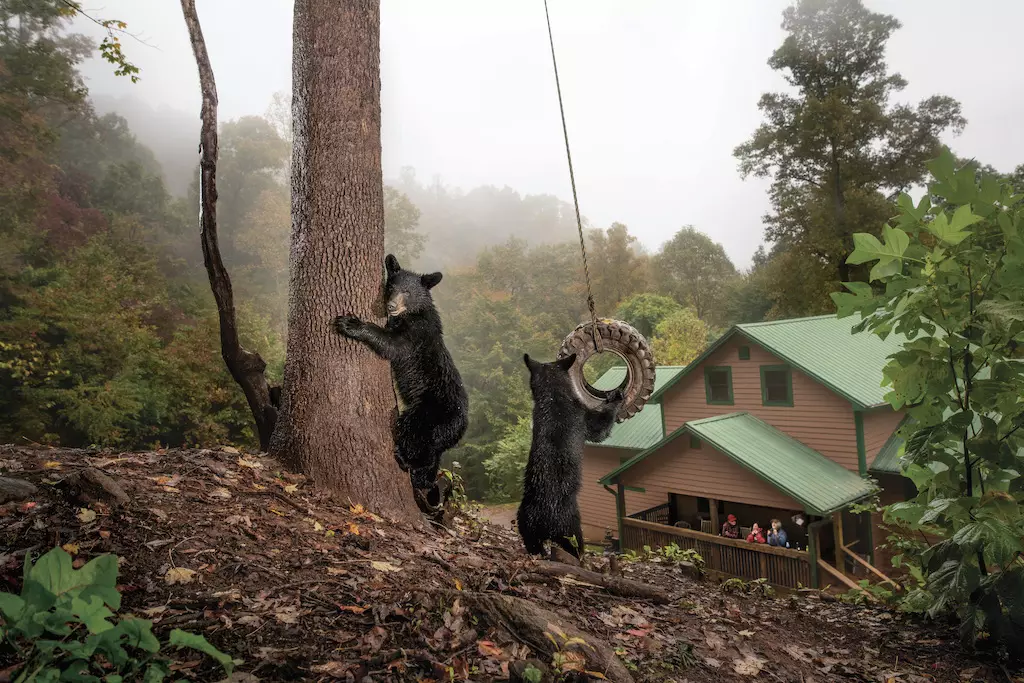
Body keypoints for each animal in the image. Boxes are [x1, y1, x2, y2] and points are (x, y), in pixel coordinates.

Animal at [331, 253, 468, 489]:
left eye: (408, 292)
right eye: (392, 287)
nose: (392, 306)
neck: (412, 313)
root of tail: (463, 425)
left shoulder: (416, 334)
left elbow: (391, 344)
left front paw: (351, 324)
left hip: (429, 415)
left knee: (413, 434)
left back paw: (404, 459)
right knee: (433, 454)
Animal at [516, 352, 618, 561]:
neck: (552, 396)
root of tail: (543, 519)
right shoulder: (583, 416)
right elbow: (600, 428)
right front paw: (615, 397)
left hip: (525, 524)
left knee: (533, 544)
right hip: (572, 529)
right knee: (576, 547)